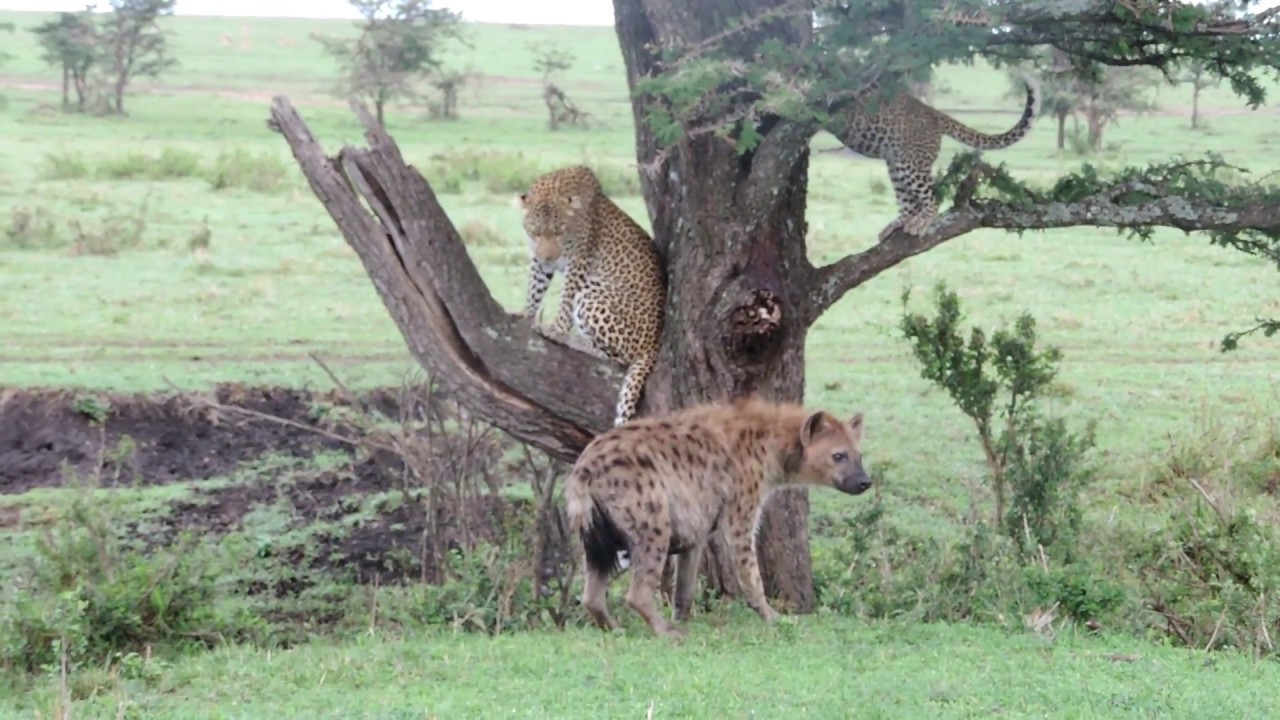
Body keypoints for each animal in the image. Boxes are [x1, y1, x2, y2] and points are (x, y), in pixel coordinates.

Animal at [519, 165, 666, 428]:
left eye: (559, 232)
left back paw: (573, 340)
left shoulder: (579, 259)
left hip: (591, 294)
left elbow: (566, 298)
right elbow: (535, 287)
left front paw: (557, 330)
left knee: (619, 359)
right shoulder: (539, 259)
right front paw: (526, 314)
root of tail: (655, 343)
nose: (550, 257)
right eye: (536, 232)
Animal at [824, 76, 1041, 242]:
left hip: (911, 163)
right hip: (895, 163)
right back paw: (896, 225)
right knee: (909, 205)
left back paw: (921, 224)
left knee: (932, 198)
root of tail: (932, 112)